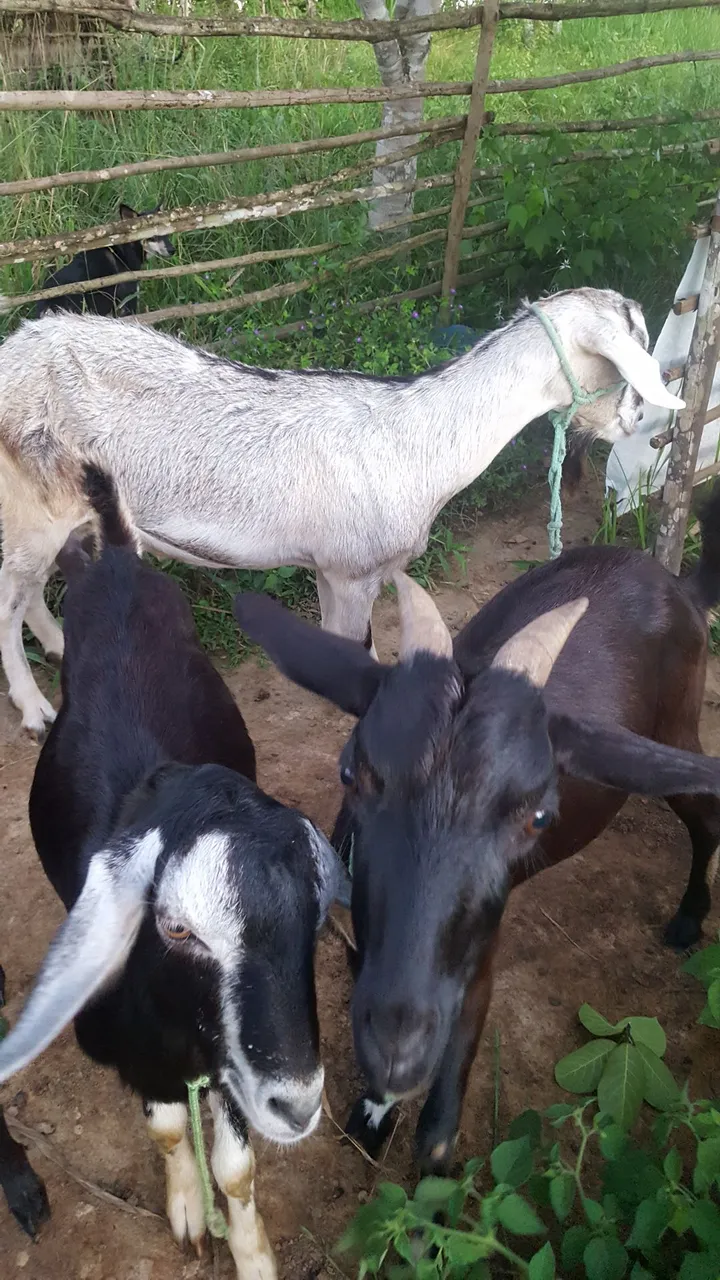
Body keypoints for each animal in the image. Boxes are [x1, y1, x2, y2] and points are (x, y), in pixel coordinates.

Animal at [0, 287, 683, 737]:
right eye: (633, 350)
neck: (418, 440)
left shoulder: (332, 568)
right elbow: (355, 650)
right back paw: (35, 709)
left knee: (34, 588)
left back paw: (59, 647)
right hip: (30, 506)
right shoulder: (355, 569)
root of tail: (16, 351)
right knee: (9, 599)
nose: (637, 422)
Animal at [0, 467, 349, 1279]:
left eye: (317, 920)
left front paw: (251, 1255)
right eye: (176, 928)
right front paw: (188, 1210)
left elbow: (238, 1168)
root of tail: (120, 558)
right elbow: (165, 1131)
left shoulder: (232, 1063)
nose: (297, 1103)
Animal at [34, 204, 174, 319]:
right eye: (153, 236)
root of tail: (49, 304)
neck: (123, 252)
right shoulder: (128, 301)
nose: (172, 250)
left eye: (167, 233)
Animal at [233, 484, 720, 1176]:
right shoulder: (366, 946)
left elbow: (437, 1138)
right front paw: (374, 1112)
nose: (399, 1048)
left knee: (705, 816)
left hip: (674, 729)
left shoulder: (476, 958)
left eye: (539, 816)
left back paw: (688, 918)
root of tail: (682, 586)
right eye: (352, 773)